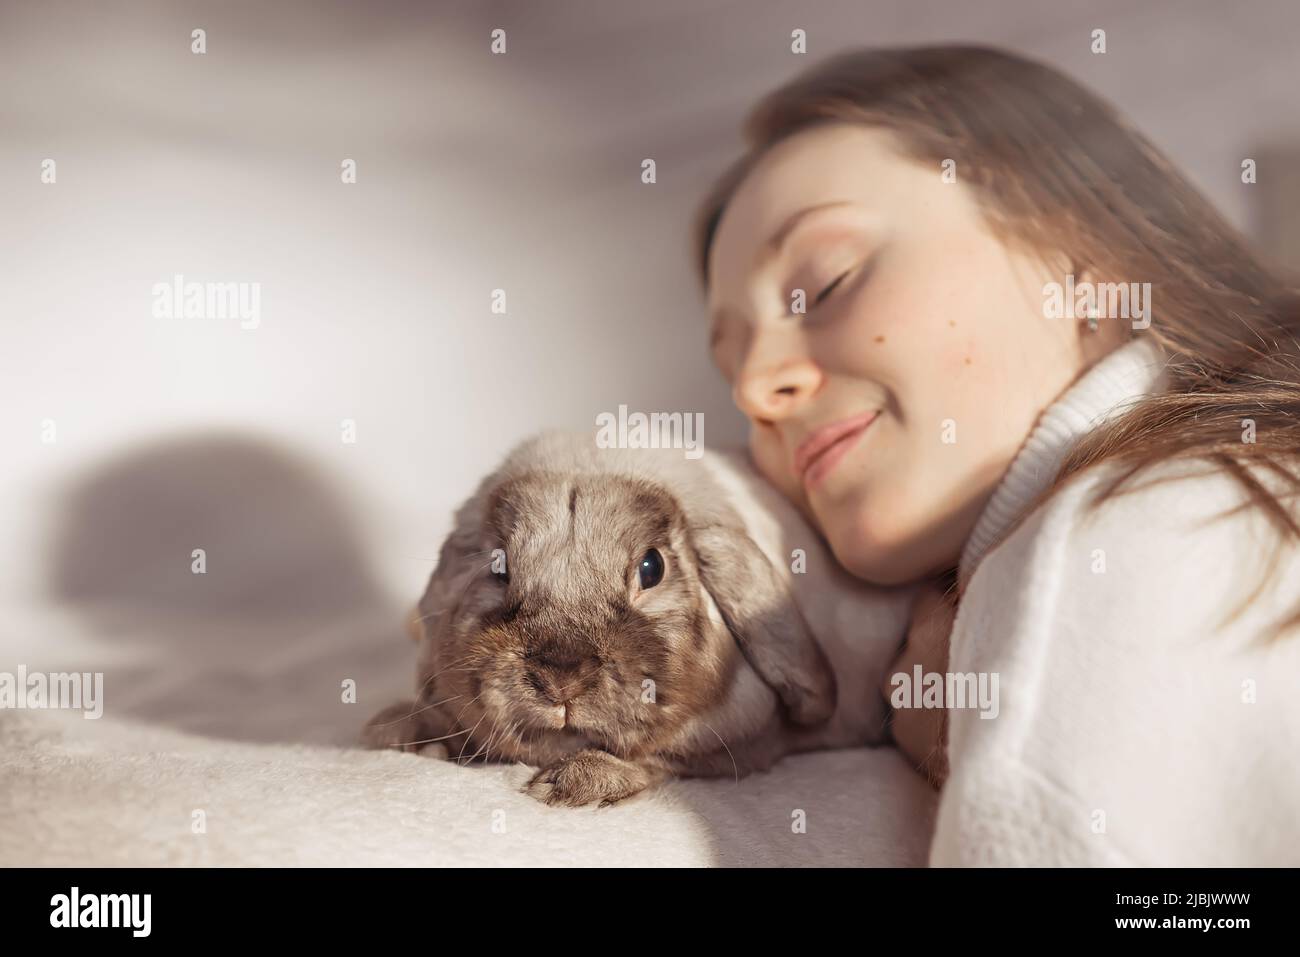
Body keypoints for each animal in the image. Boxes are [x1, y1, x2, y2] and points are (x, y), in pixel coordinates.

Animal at [362, 429, 917, 807]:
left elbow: (659, 757)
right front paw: (392, 729)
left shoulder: (744, 740)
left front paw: (572, 783)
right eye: (498, 567)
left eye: (652, 567)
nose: (560, 679)